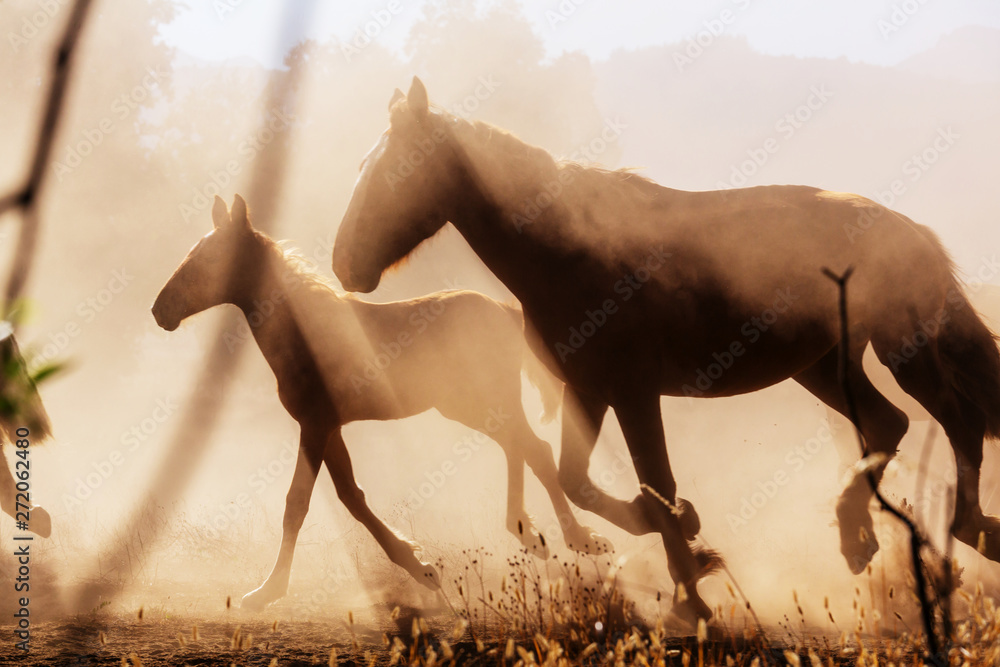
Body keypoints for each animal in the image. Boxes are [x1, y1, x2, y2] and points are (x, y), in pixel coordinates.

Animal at [152, 194, 611, 611]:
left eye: (212, 258)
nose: (160, 311)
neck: (306, 330)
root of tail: (506, 311)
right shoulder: (328, 426)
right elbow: (351, 496)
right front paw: (420, 567)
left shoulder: (315, 424)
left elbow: (297, 503)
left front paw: (266, 592)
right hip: (472, 406)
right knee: (520, 448)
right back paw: (531, 534)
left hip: (481, 401)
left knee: (535, 450)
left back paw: (578, 539)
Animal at [330, 76, 1000, 622]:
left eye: (395, 170)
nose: (343, 266)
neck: (564, 255)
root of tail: (909, 230)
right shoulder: (589, 389)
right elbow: (581, 481)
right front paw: (689, 541)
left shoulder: (633, 392)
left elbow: (655, 481)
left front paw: (690, 594)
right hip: (823, 367)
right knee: (891, 424)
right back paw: (859, 535)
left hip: (901, 350)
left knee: (956, 422)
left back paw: (963, 528)